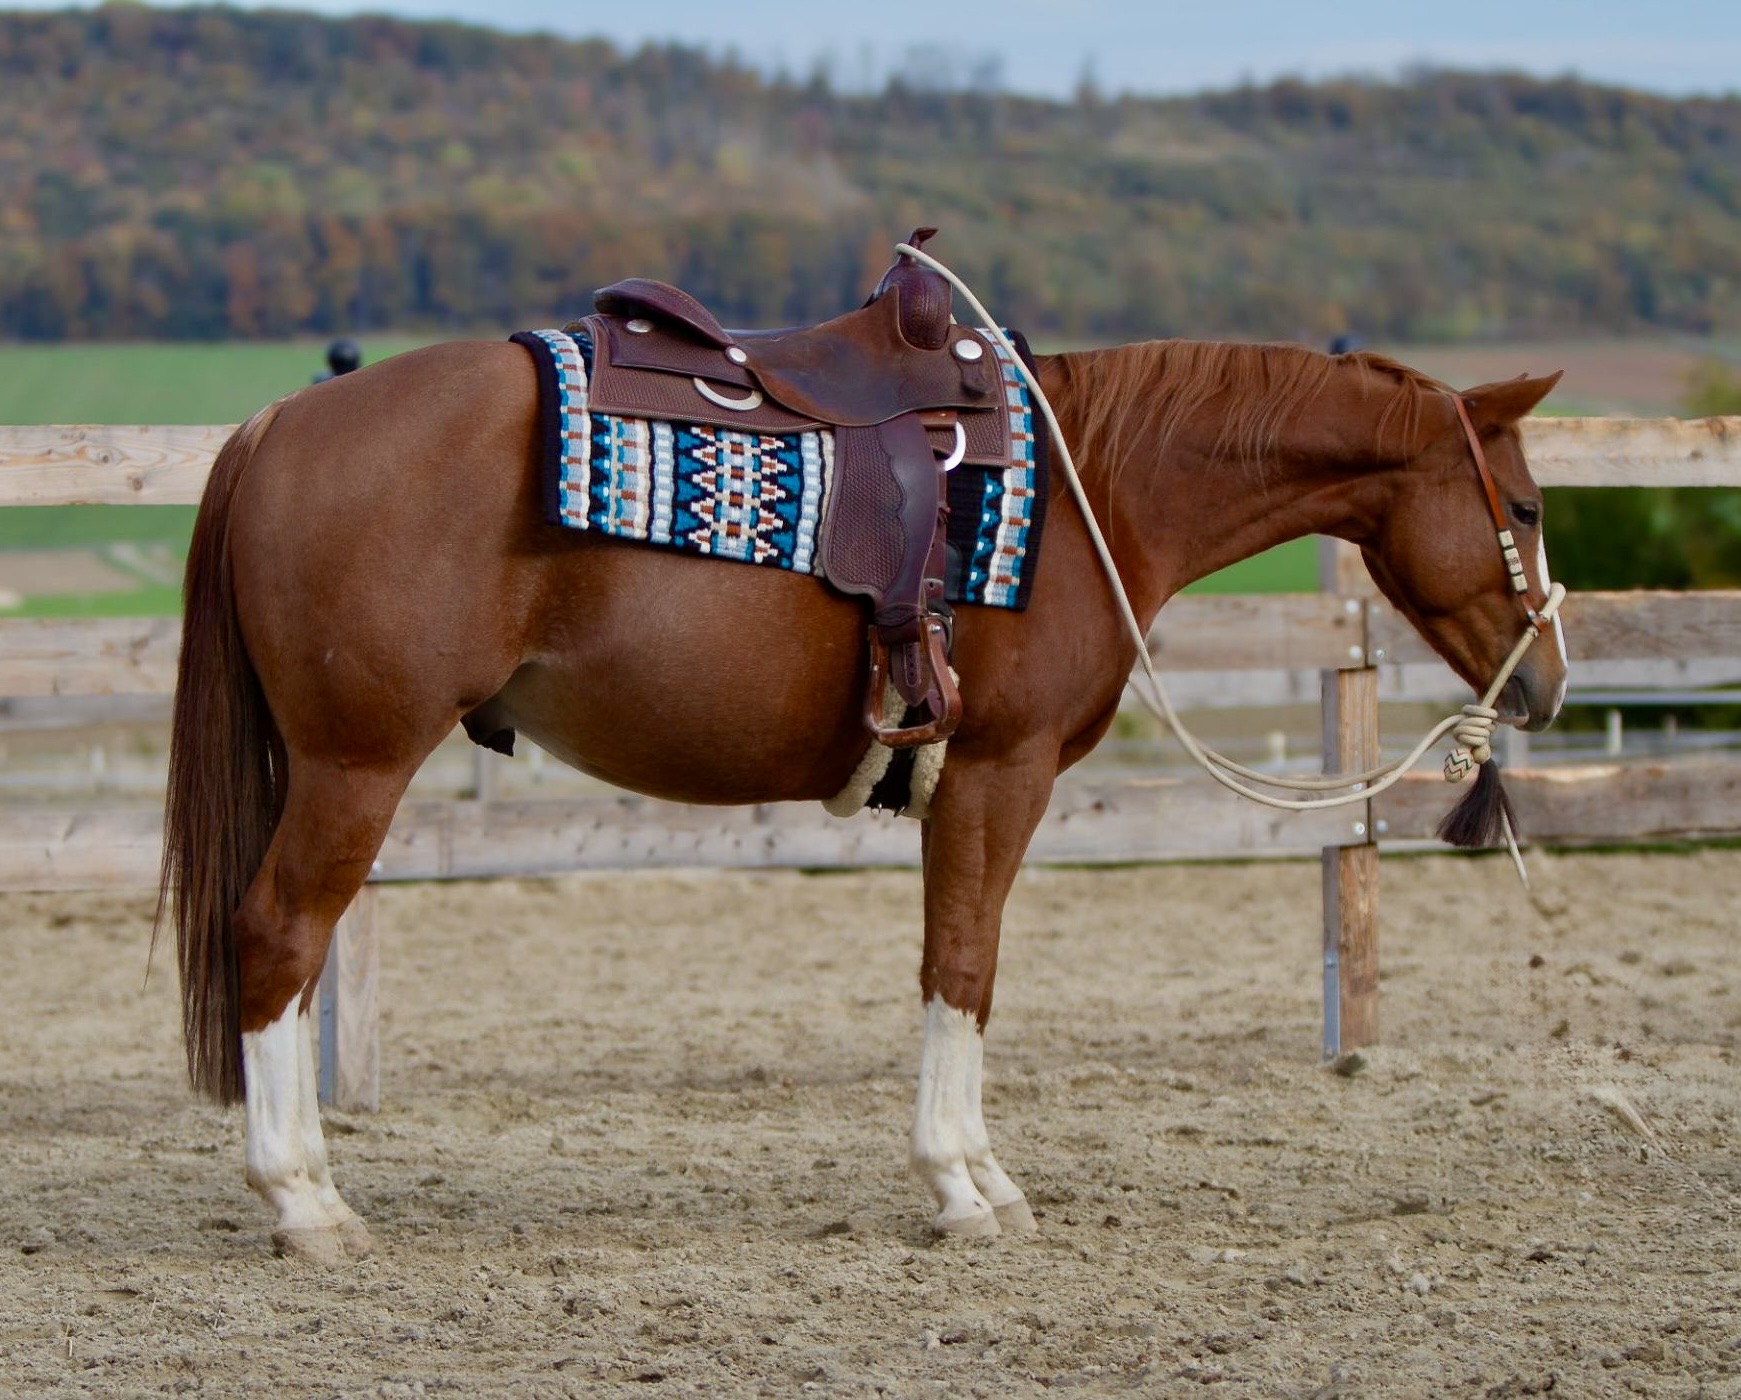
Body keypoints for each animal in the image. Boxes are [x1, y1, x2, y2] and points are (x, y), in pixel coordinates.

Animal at [159, 332, 1567, 1263]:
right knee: (277, 935)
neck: (1094, 487)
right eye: (1527, 501)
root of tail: (279, 425)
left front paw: (979, 1174)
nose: (1548, 683)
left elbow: (964, 970)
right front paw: (963, 1185)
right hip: (356, 765)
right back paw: (304, 1200)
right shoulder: (997, 773)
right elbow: (964, 966)